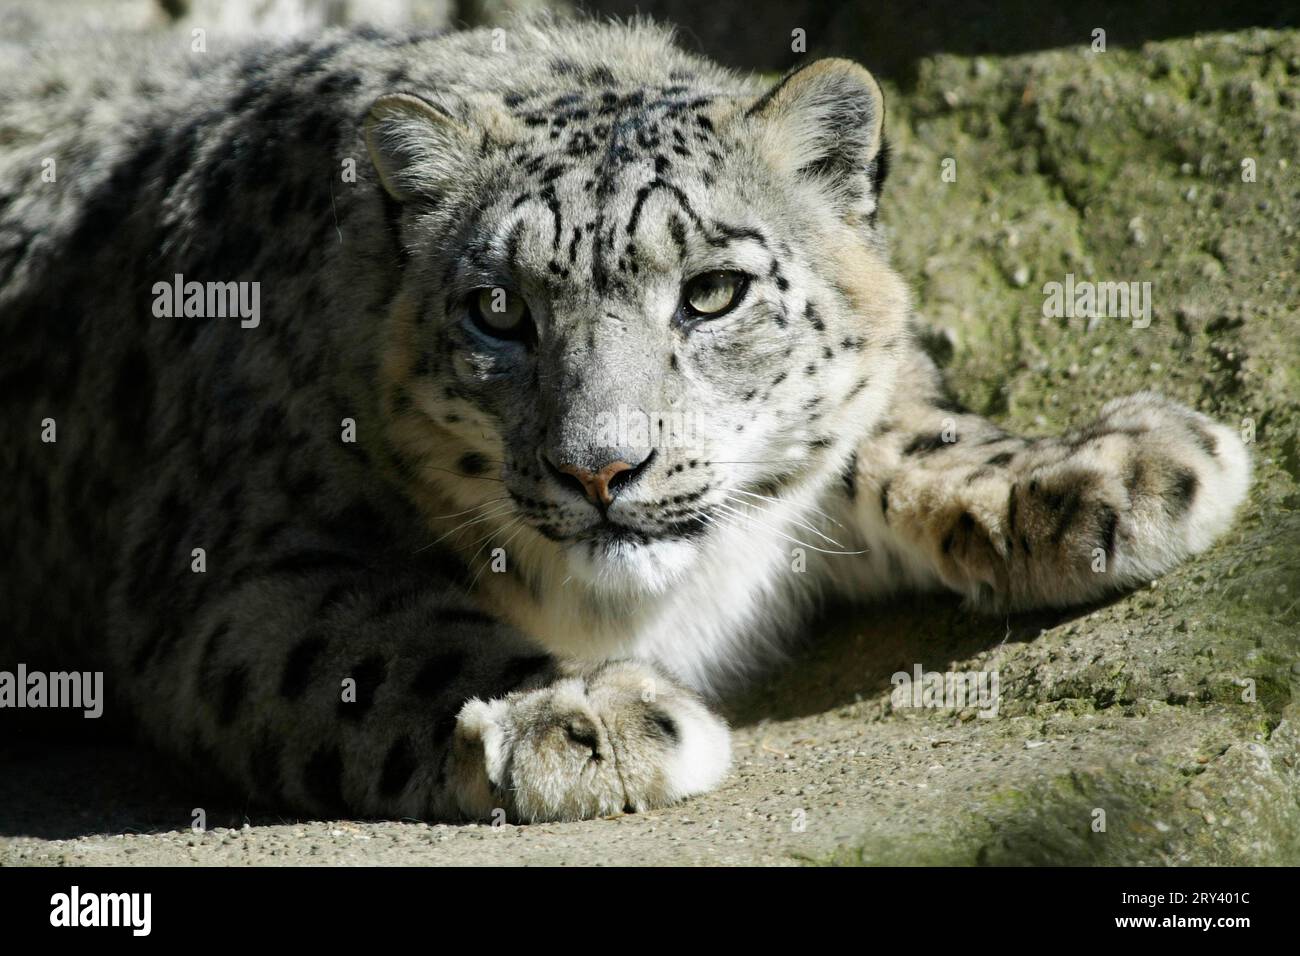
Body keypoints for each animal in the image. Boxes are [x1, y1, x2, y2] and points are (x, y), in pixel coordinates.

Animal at [0, 17, 1251, 822]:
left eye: (713, 290)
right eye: (497, 308)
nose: (602, 469)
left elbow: (898, 428)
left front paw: (1115, 468)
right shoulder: (231, 577)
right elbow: (375, 632)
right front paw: (578, 719)